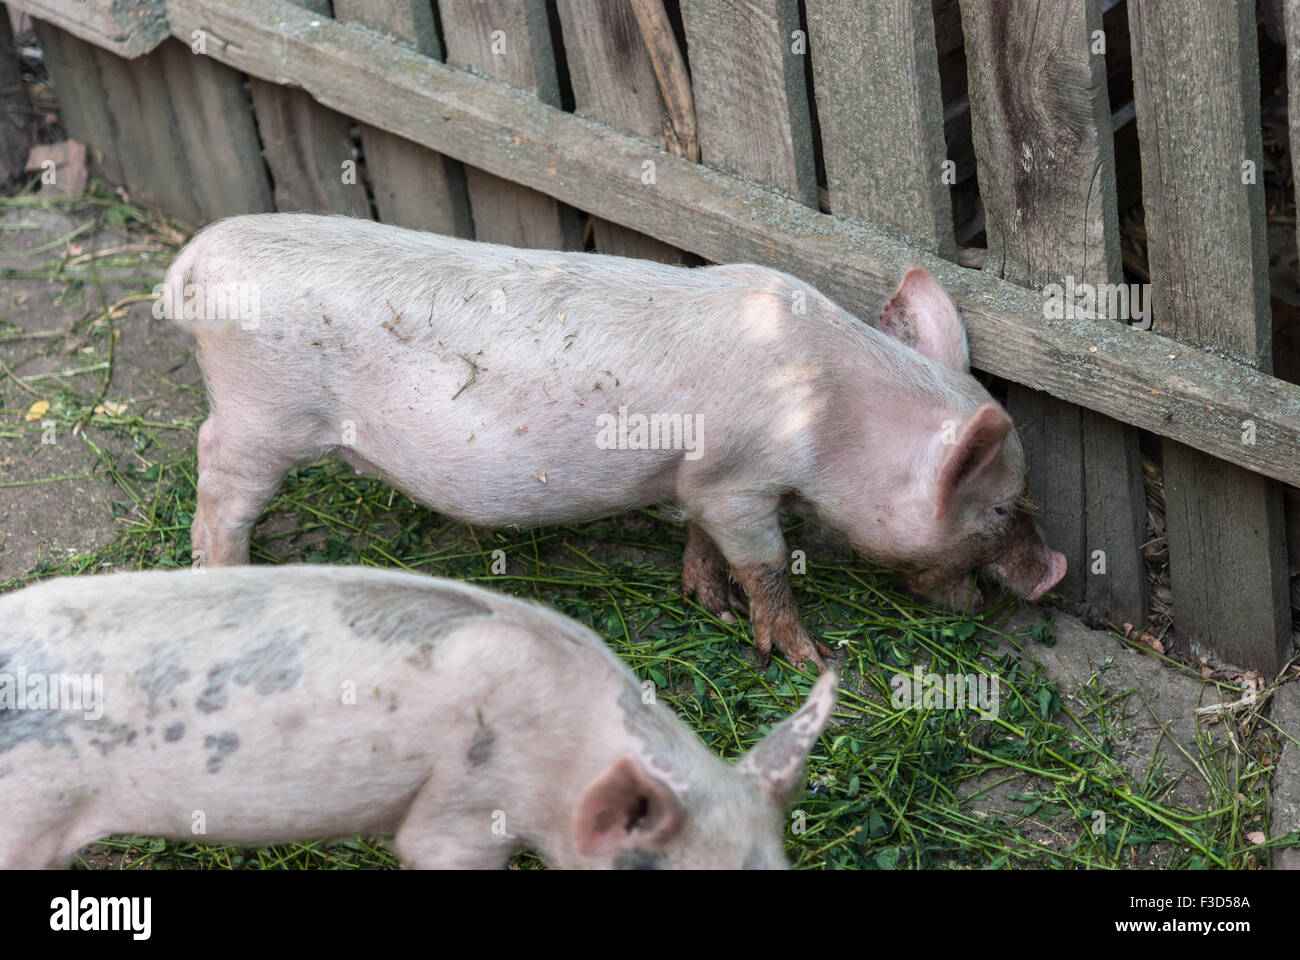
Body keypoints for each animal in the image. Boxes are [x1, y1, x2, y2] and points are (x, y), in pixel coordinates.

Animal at [163, 214, 1066, 669]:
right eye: (997, 508)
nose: (1055, 570)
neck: (830, 409)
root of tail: (192, 260)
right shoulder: (741, 483)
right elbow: (767, 561)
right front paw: (807, 658)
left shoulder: (699, 478)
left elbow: (701, 537)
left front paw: (705, 601)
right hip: (260, 417)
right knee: (215, 483)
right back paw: (232, 580)